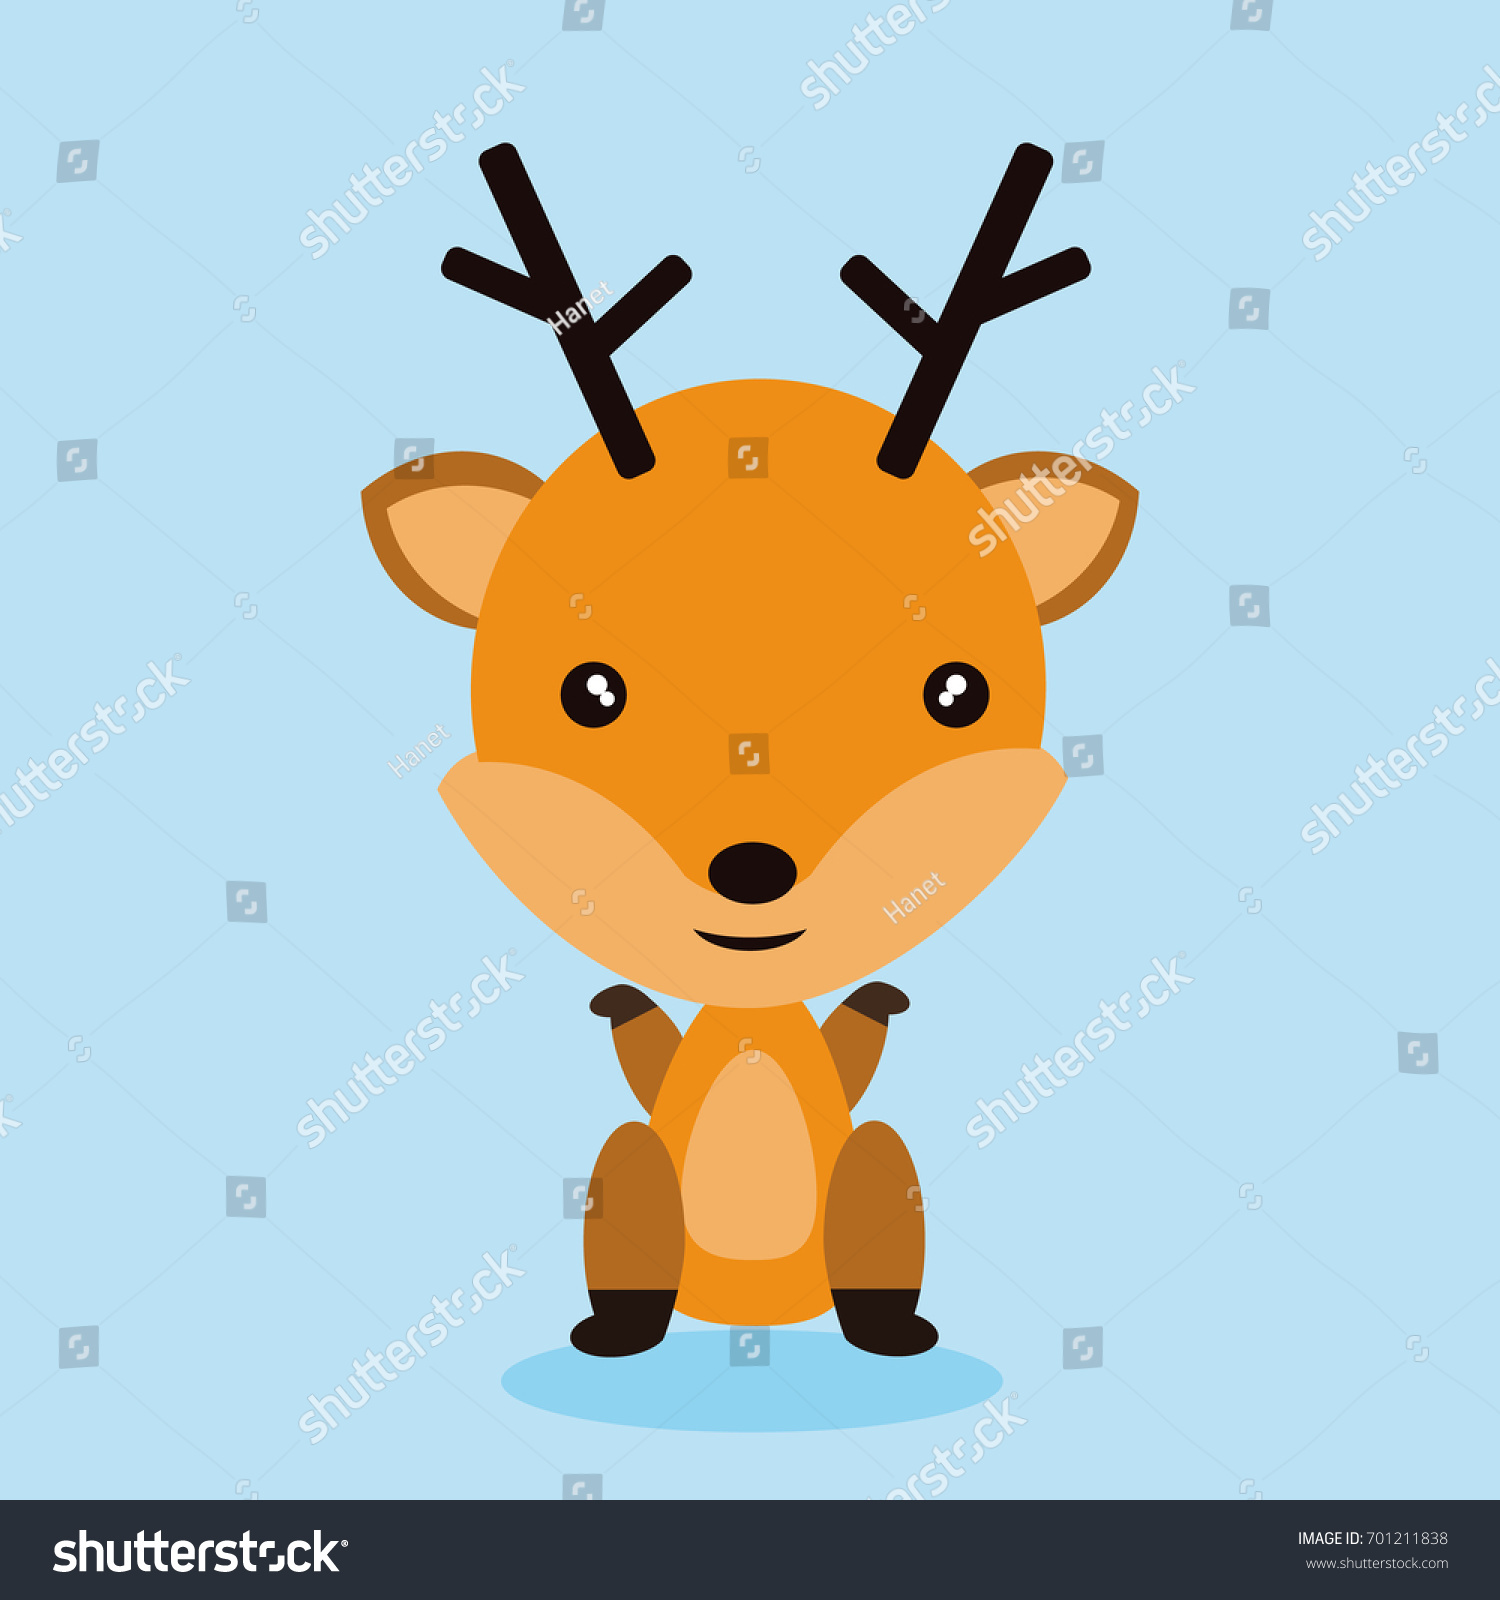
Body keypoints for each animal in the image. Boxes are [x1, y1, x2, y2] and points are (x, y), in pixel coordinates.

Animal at [360, 142, 1137, 1359]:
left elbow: (855, 1054)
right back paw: (621, 1330)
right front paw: (619, 1005)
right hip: (634, 1189)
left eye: (957, 693)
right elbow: (647, 1062)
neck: (753, 1014)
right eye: (589, 694)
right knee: (630, 1175)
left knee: (880, 1169)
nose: (754, 871)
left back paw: (886, 1327)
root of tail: (752, 1317)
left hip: (874, 1183)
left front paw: (880, 1001)